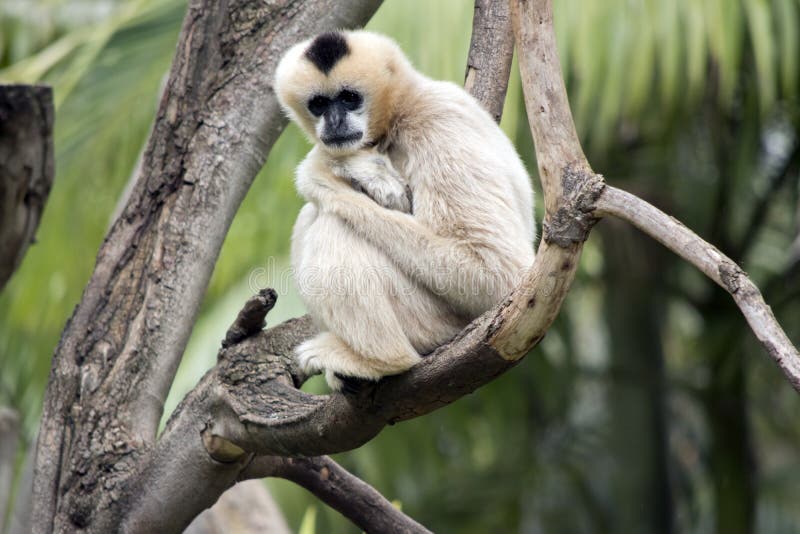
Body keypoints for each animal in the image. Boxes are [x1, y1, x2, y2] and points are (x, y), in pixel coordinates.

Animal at [274, 30, 535, 391]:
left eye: (349, 98)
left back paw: (381, 360)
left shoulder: (437, 125)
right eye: (319, 104)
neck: (396, 116)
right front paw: (362, 168)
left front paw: (322, 170)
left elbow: (494, 270)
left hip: (436, 321)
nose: (335, 121)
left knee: (332, 223)